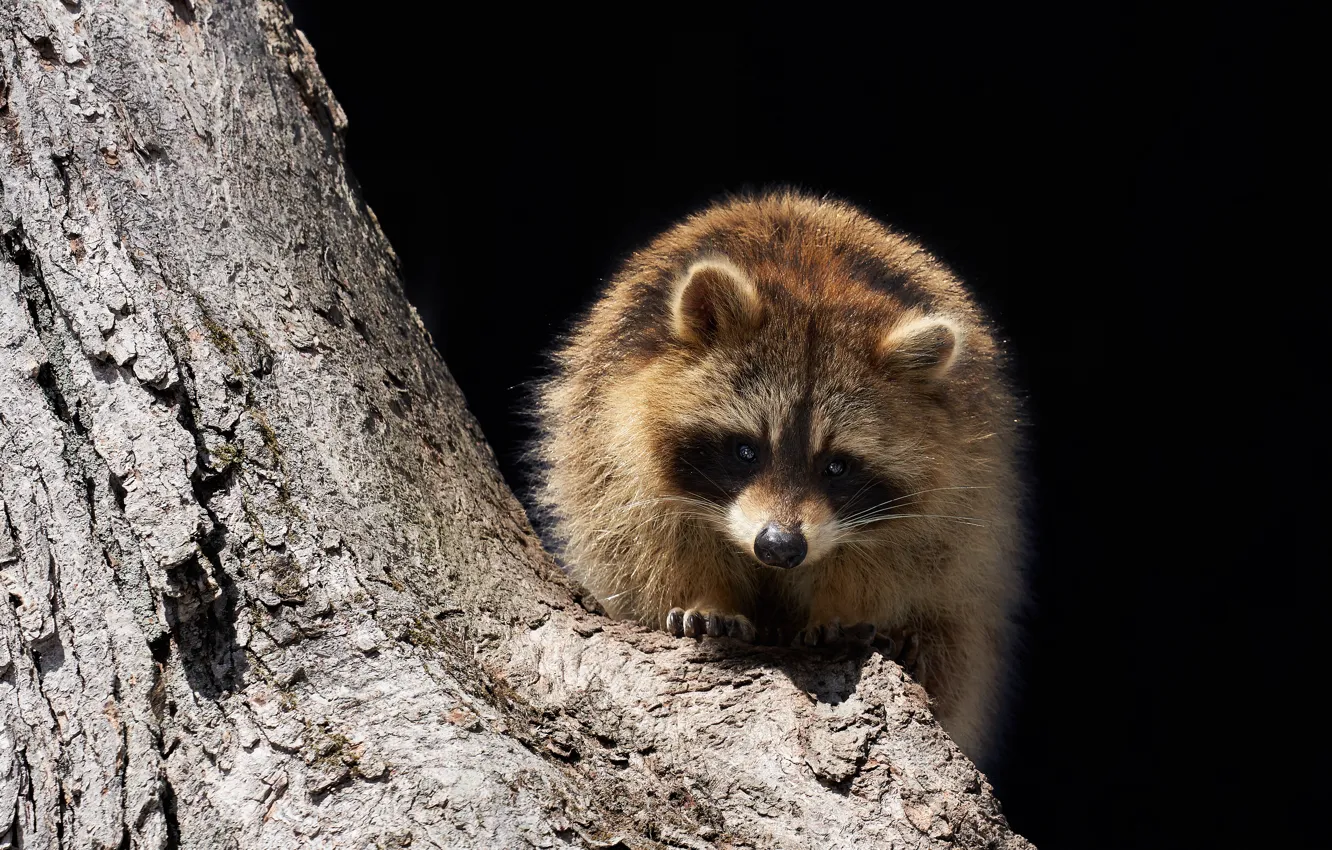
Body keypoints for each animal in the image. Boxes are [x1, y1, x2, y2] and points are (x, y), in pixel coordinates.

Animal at [533, 190, 1026, 763]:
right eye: (746, 450)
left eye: (836, 465)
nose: (780, 546)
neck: (812, 280)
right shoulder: (607, 435)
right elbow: (649, 537)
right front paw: (706, 599)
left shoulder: (961, 481)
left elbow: (901, 555)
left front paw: (842, 611)